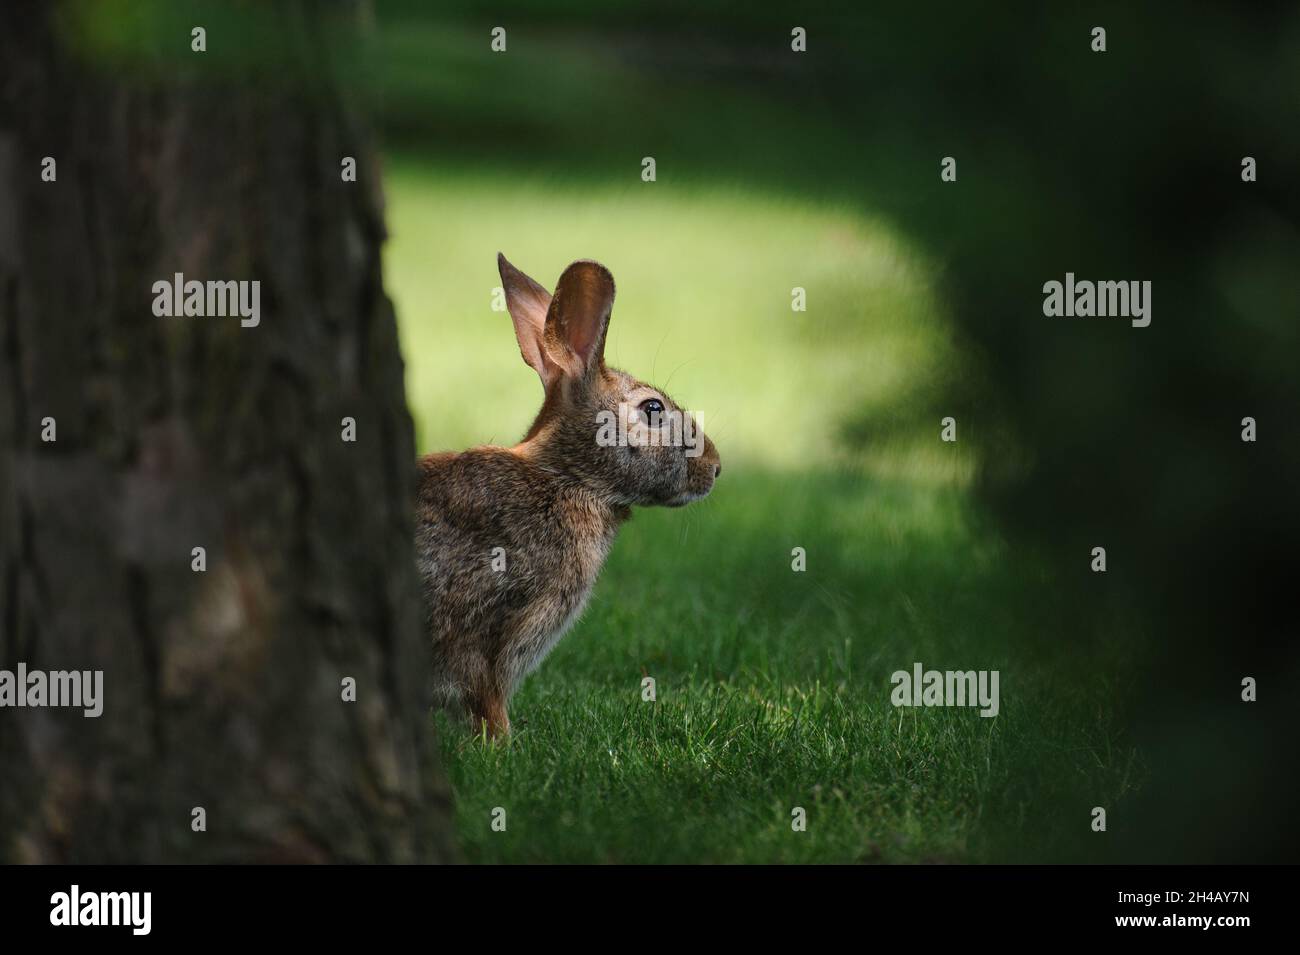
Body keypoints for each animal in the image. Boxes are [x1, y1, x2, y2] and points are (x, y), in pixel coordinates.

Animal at [416, 254, 721, 738]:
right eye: (653, 409)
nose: (714, 466)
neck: (569, 480)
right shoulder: (493, 636)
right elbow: (487, 699)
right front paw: (505, 743)